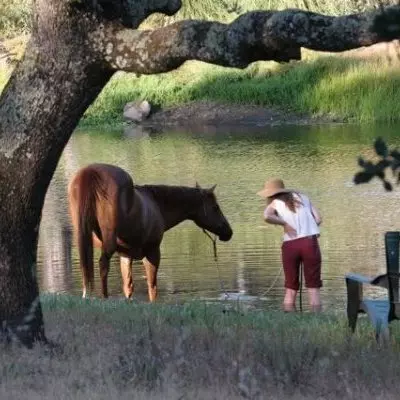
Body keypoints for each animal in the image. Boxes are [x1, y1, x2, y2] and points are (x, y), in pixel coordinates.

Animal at [67, 162, 233, 300]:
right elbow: (152, 287)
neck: (157, 204)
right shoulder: (152, 252)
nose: (228, 232)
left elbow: (128, 287)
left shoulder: (125, 254)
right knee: (102, 265)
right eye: (215, 207)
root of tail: (91, 172)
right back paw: (104, 297)